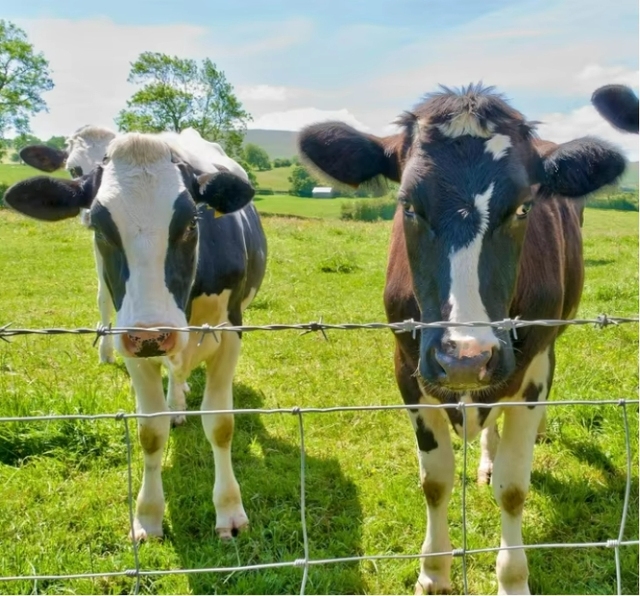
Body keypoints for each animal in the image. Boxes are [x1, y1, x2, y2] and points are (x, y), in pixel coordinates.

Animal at [3, 129, 267, 541]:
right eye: (100, 227)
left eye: (191, 223)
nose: (154, 334)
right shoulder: (131, 341)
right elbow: (150, 431)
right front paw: (148, 515)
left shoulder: (229, 333)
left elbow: (221, 424)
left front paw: (229, 511)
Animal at [297, 83, 625, 595]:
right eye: (408, 206)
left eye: (523, 206)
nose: (465, 358)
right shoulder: (407, 365)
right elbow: (435, 481)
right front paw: (434, 571)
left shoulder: (529, 371)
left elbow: (513, 487)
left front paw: (513, 579)